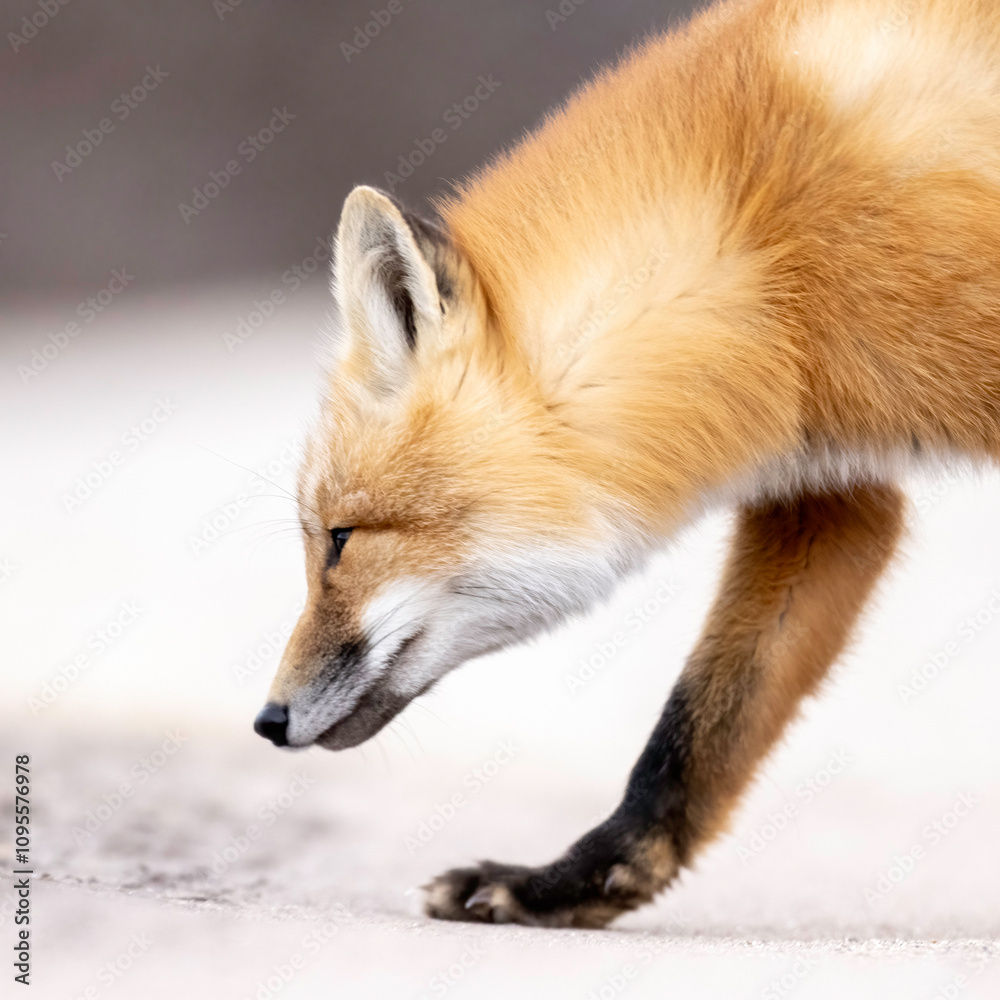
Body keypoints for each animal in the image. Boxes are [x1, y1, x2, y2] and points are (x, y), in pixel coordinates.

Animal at [253, 0, 1000, 928]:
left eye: (341, 539)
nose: (266, 720)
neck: (773, 245)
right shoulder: (827, 500)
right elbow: (695, 731)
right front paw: (568, 883)